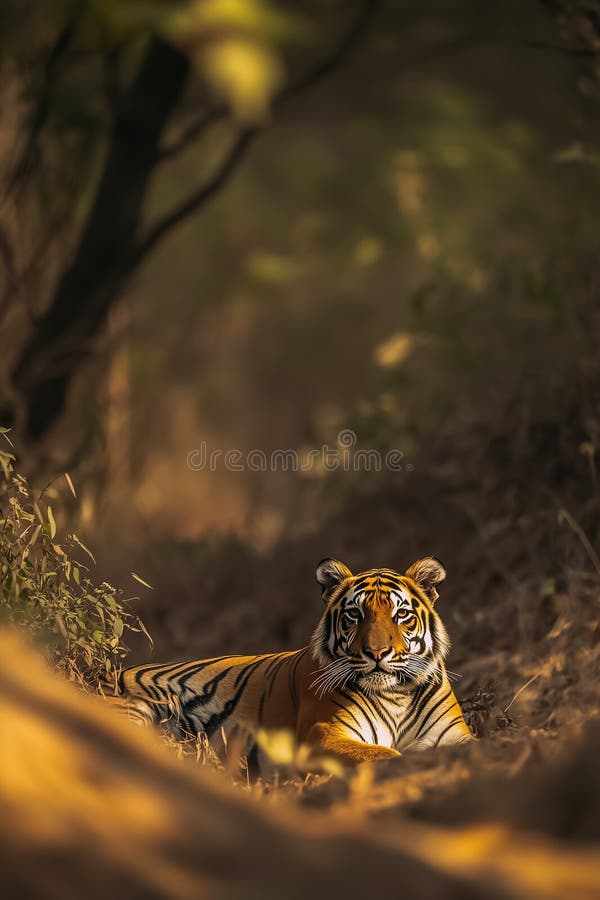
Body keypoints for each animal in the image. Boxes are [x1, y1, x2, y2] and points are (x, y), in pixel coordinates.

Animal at [114, 556, 473, 770]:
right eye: (355, 614)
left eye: (401, 615)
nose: (377, 652)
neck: (397, 694)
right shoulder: (324, 733)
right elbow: (385, 754)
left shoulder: (453, 735)